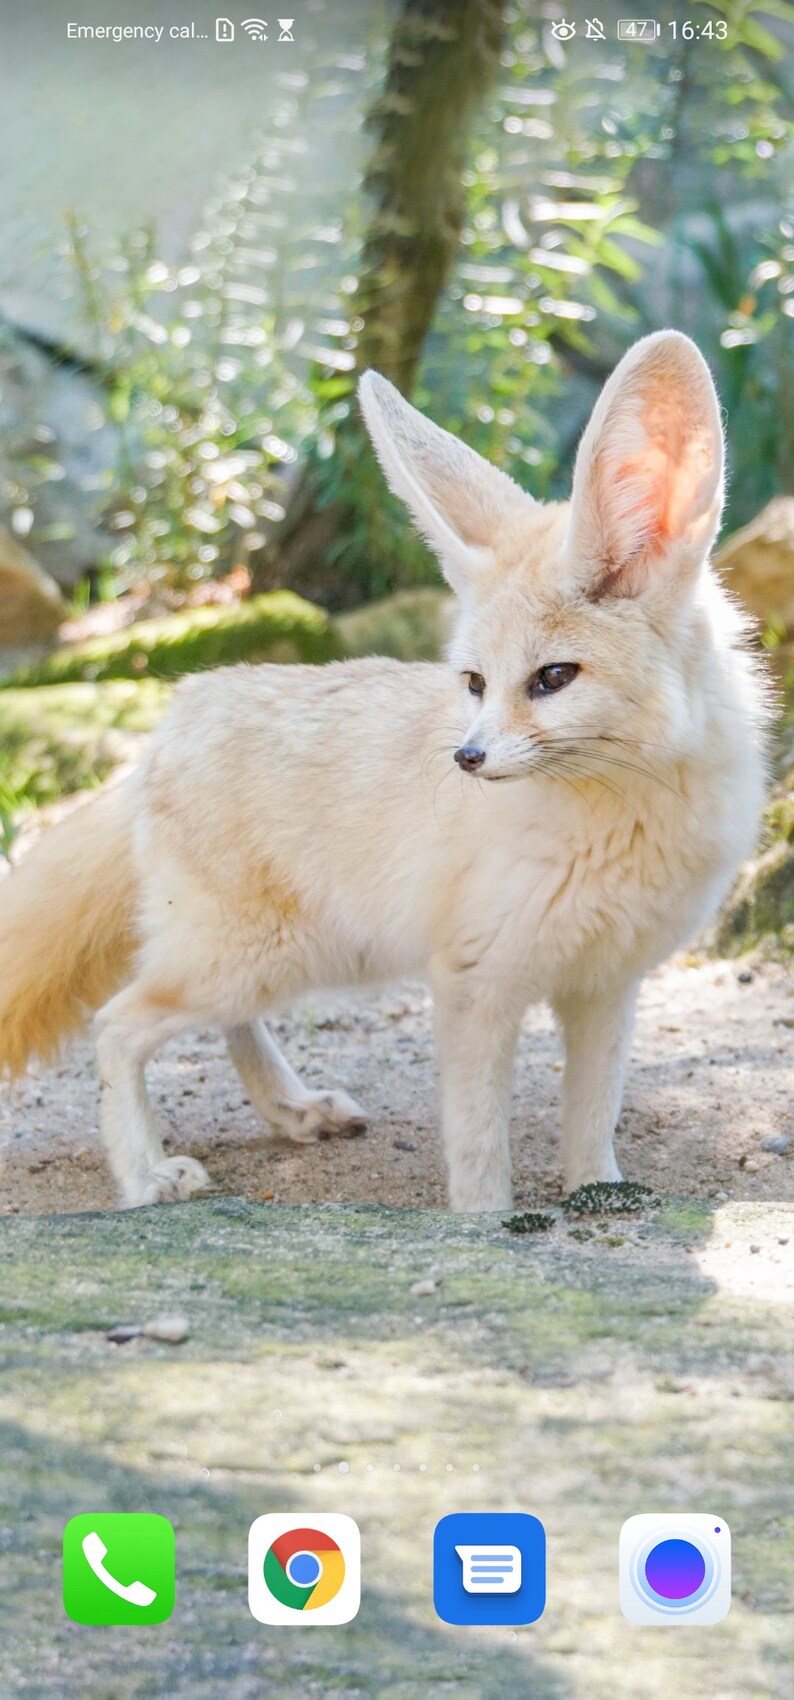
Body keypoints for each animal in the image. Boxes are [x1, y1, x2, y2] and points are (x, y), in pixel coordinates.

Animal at [0, 331, 767, 1211]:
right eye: (475, 682)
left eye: (552, 678)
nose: (467, 758)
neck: (625, 817)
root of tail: (172, 718)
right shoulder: (475, 981)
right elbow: (478, 1148)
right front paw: (484, 1221)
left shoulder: (605, 983)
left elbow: (592, 1122)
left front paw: (596, 1194)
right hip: (249, 962)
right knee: (117, 1026)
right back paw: (145, 1174)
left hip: (292, 961)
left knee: (221, 1024)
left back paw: (291, 1109)